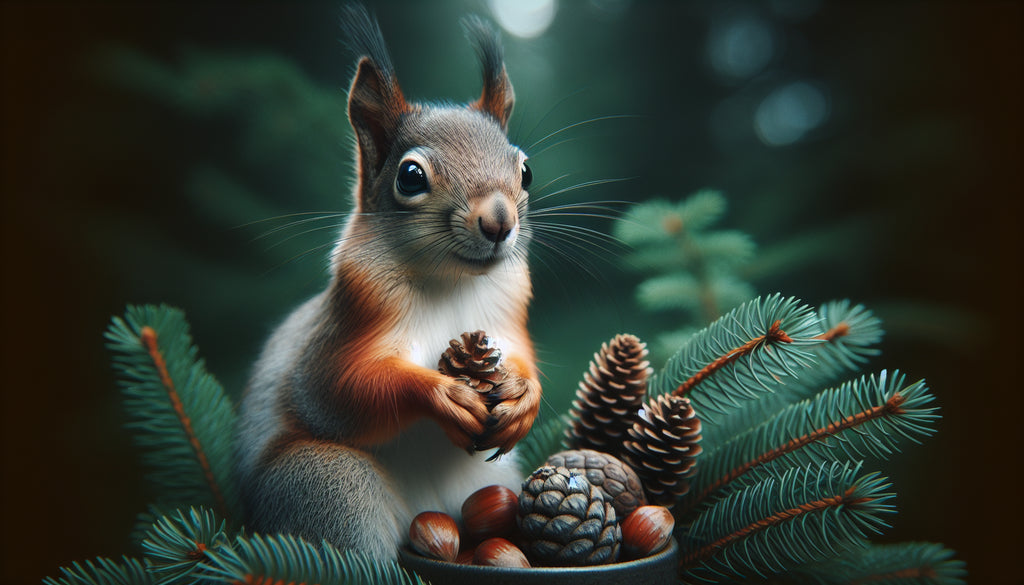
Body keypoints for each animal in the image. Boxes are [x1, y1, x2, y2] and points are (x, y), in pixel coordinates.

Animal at [234, 8, 542, 561]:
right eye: (411, 177)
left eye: (525, 171)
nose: (499, 222)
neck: (451, 282)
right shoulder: (339, 330)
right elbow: (344, 390)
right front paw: (442, 395)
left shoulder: (508, 317)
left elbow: (523, 358)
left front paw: (525, 396)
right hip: (326, 484)